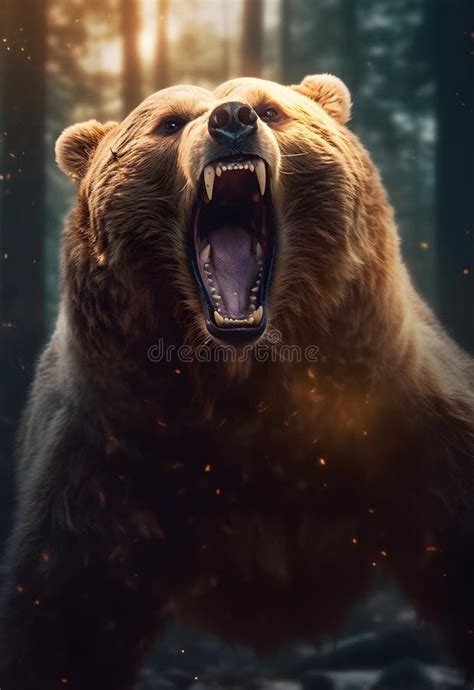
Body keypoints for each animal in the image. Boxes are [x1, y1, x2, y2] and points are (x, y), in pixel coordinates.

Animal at [0, 73, 472, 690]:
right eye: (170, 122)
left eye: (271, 110)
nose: (230, 120)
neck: (244, 380)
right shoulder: (104, 464)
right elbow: (59, 620)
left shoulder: (408, 425)